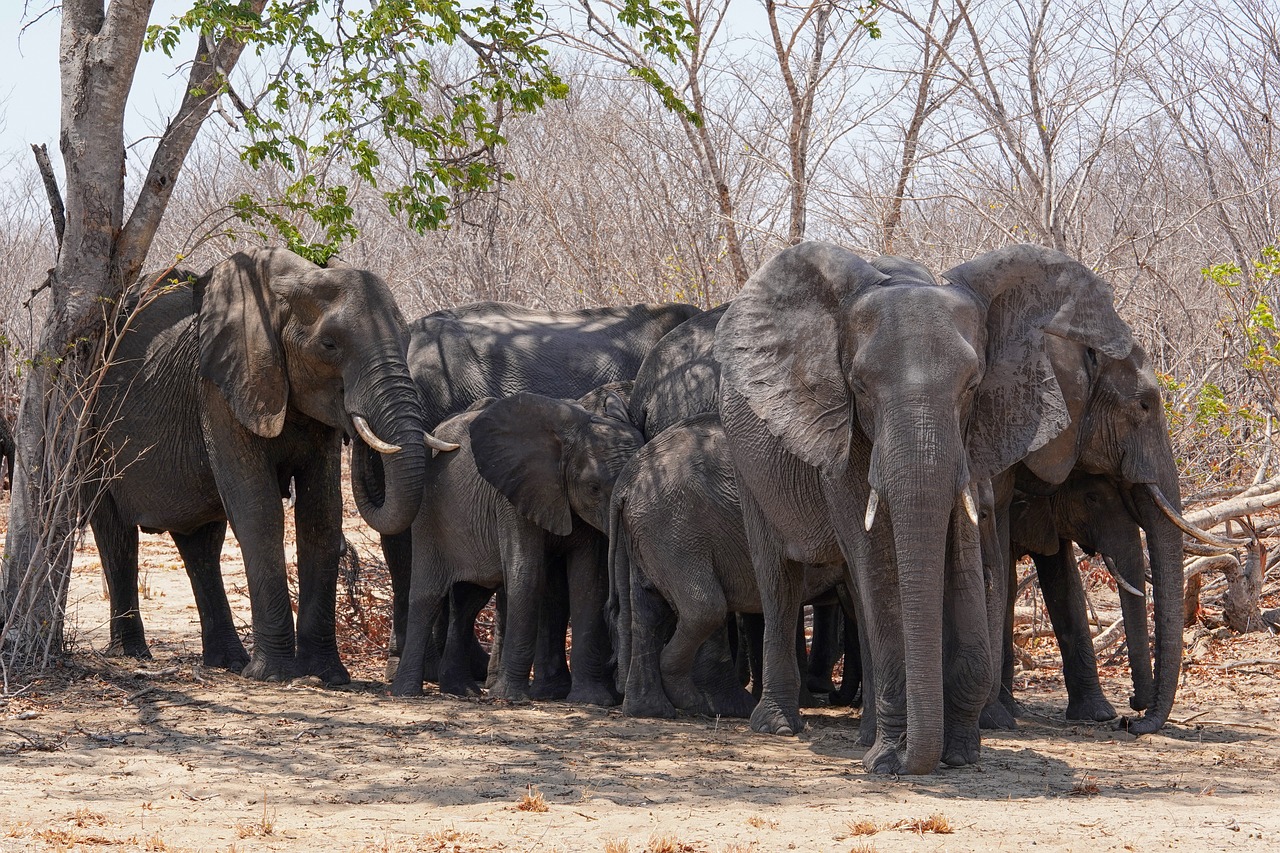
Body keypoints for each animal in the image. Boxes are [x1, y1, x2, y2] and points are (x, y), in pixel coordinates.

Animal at [89, 248, 453, 683]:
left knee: (200, 542)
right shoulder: (221, 393)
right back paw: (133, 654)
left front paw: (327, 676)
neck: (290, 284)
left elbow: (321, 516)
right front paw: (273, 675)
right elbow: (259, 513)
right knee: (114, 533)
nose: (356, 424)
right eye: (329, 345)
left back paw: (228, 662)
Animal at [391, 390, 643, 704]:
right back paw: (407, 692)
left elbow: (588, 583)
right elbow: (527, 573)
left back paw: (462, 690)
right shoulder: (512, 496)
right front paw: (510, 697)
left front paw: (590, 700)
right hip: (429, 513)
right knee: (428, 595)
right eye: (594, 488)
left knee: (468, 600)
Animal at [610, 412, 845, 719]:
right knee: (704, 608)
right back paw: (693, 701)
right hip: (674, 530)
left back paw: (652, 711)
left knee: (648, 609)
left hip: (646, 531)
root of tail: (626, 478)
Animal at [715, 243, 1135, 774]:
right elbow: (876, 553)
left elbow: (963, 552)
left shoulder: (974, 441)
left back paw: (865, 735)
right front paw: (889, 760)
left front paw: (960, 753)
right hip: (746, 464)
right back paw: (781, 726)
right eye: (859, 387)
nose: (914, 761)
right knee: (780, 580)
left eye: (972, 385)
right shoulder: (844, 437)